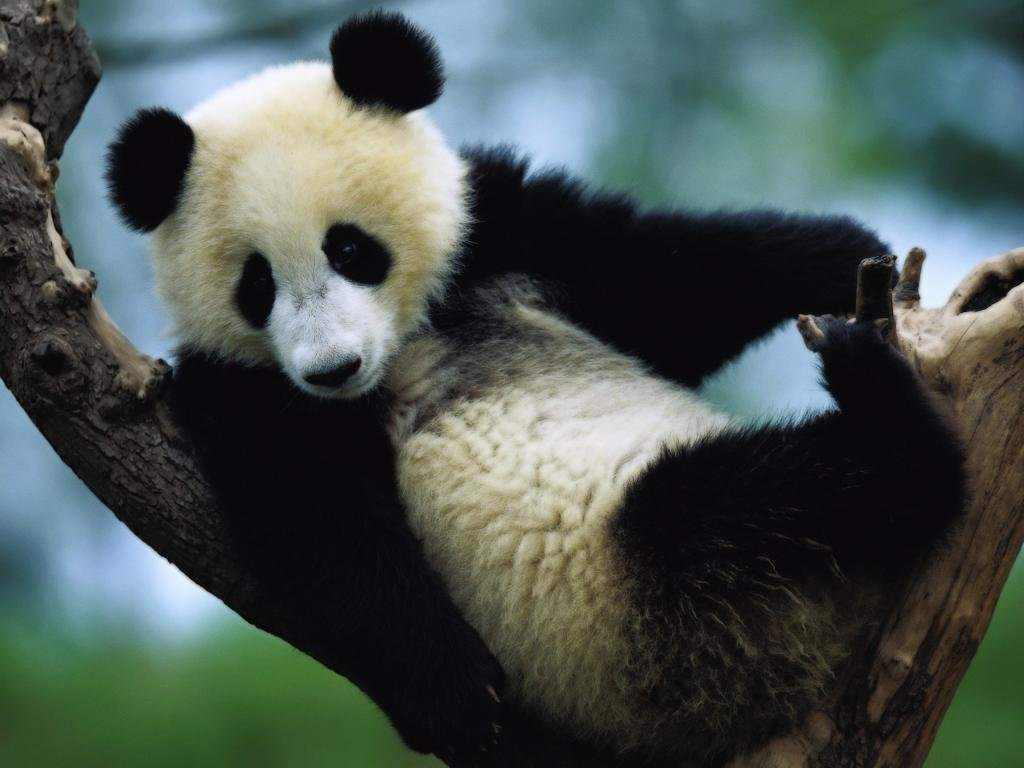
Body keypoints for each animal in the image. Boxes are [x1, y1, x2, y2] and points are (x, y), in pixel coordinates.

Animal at [105, 11, 966, 767]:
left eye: (349, 248)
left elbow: (665, 280)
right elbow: (321, 523)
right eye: (258, 285)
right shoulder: (242, 388)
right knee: (750, 504)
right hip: (666, 615)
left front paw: (847, 253)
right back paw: (880, 409)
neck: (407, 342)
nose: (332, 368)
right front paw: (452, 692)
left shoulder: (501, 232)